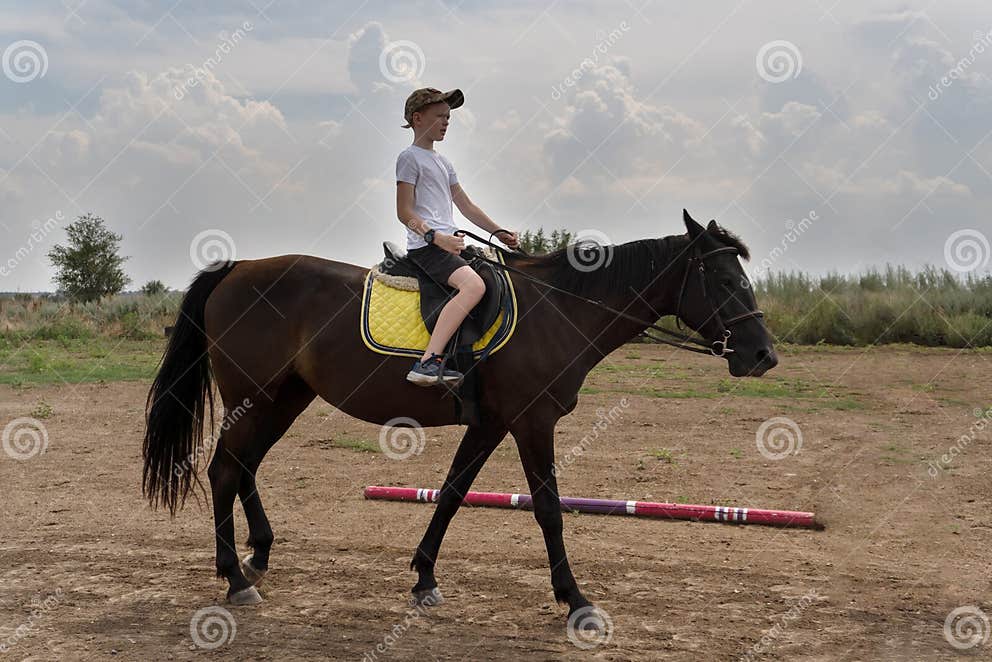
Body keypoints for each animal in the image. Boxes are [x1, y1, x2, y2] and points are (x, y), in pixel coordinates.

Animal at [141, 210, 777, 632]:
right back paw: (236, 578)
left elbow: (450, 493)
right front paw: (575, 600)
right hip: (253, 397)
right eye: (724, 280)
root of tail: (238, 267)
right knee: (225, 471)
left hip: (283, 398)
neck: (561, 309)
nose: (763, 354)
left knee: (243, 466)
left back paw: (258, 556)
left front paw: (424, 578)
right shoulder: (532, 422)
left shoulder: (490, 423)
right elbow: (548, 511)